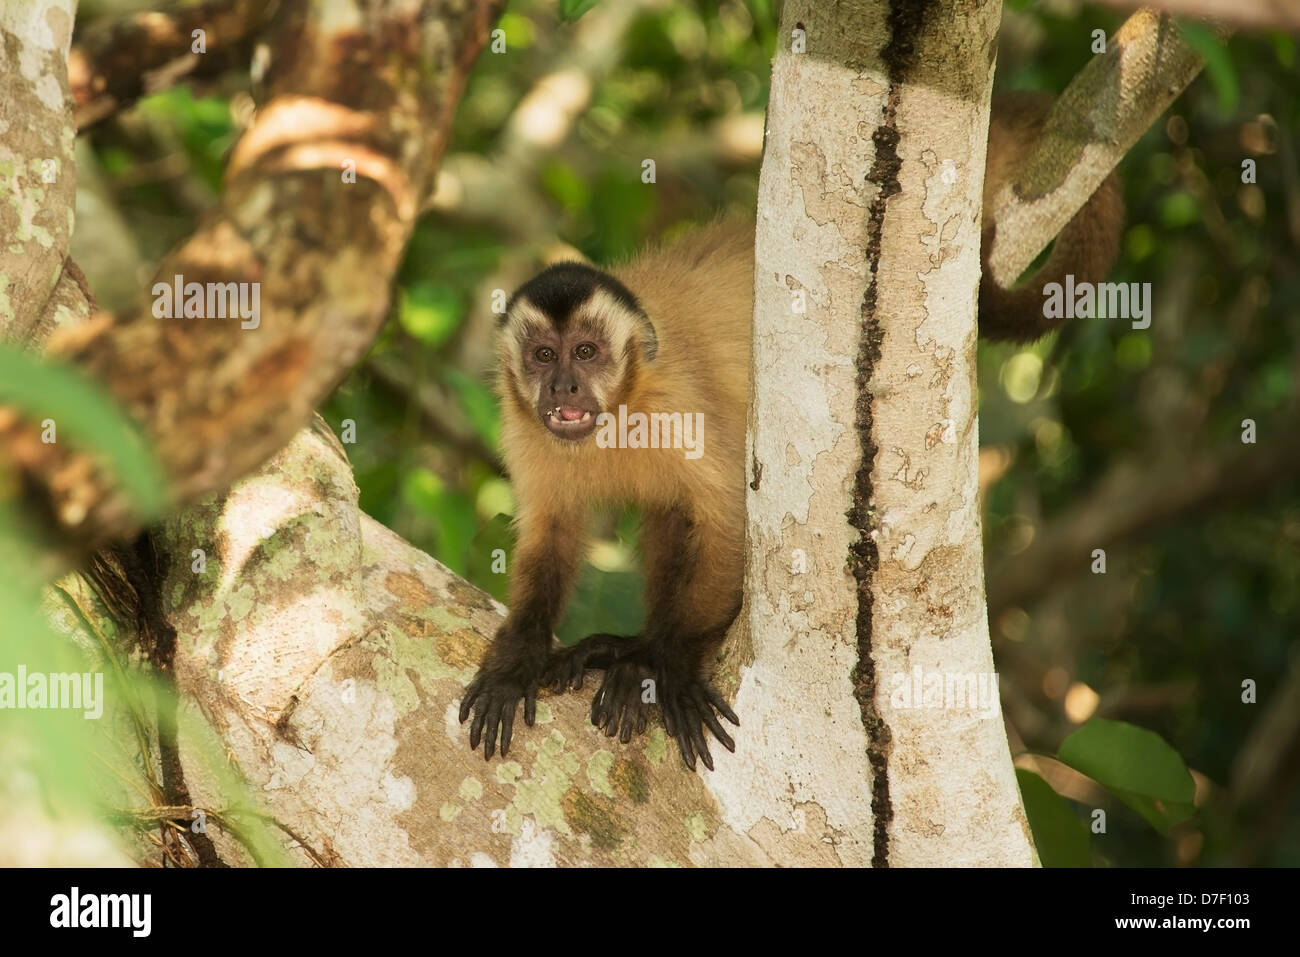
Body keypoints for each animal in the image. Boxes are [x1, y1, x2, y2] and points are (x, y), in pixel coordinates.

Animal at [459, 95, 1124, 772]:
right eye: (544, 355)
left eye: (587, 352)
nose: (564, 387)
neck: (619, 412)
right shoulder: (523, 429)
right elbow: (551, 536)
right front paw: (519, 659)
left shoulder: (675, 403)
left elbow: (728, 519)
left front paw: (660, 662)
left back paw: (633, 652)